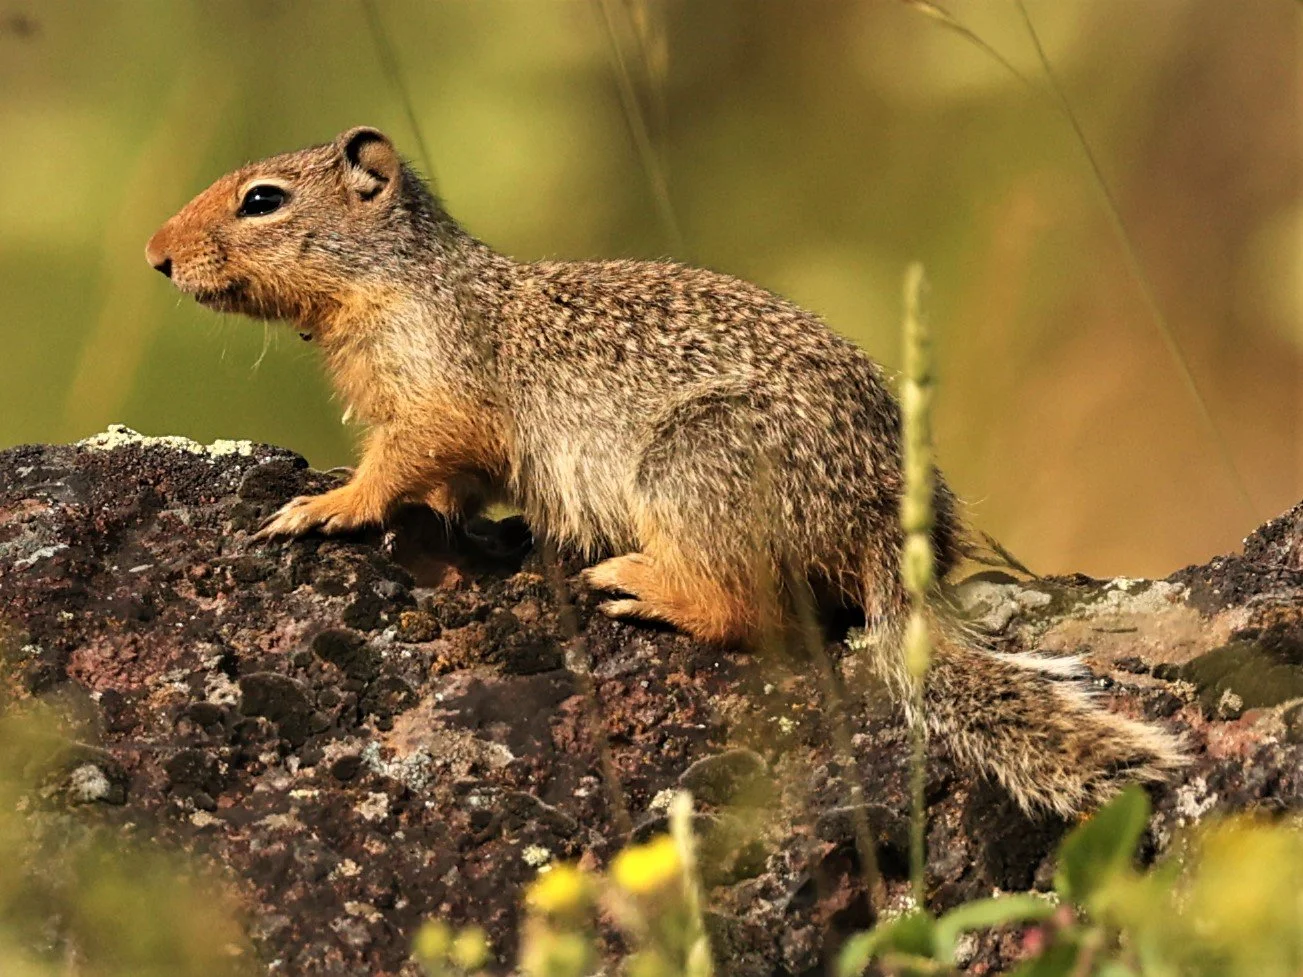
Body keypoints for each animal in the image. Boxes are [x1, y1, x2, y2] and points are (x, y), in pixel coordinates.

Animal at [145, 126, 1184, 816]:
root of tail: (884, 530)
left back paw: (636, 583)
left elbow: (398, 463)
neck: (395, 283)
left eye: (262, 199)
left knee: (748, 614)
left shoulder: (436, 392)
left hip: (694, 468)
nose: (154, 256)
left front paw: (321, 504)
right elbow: (453, 485)